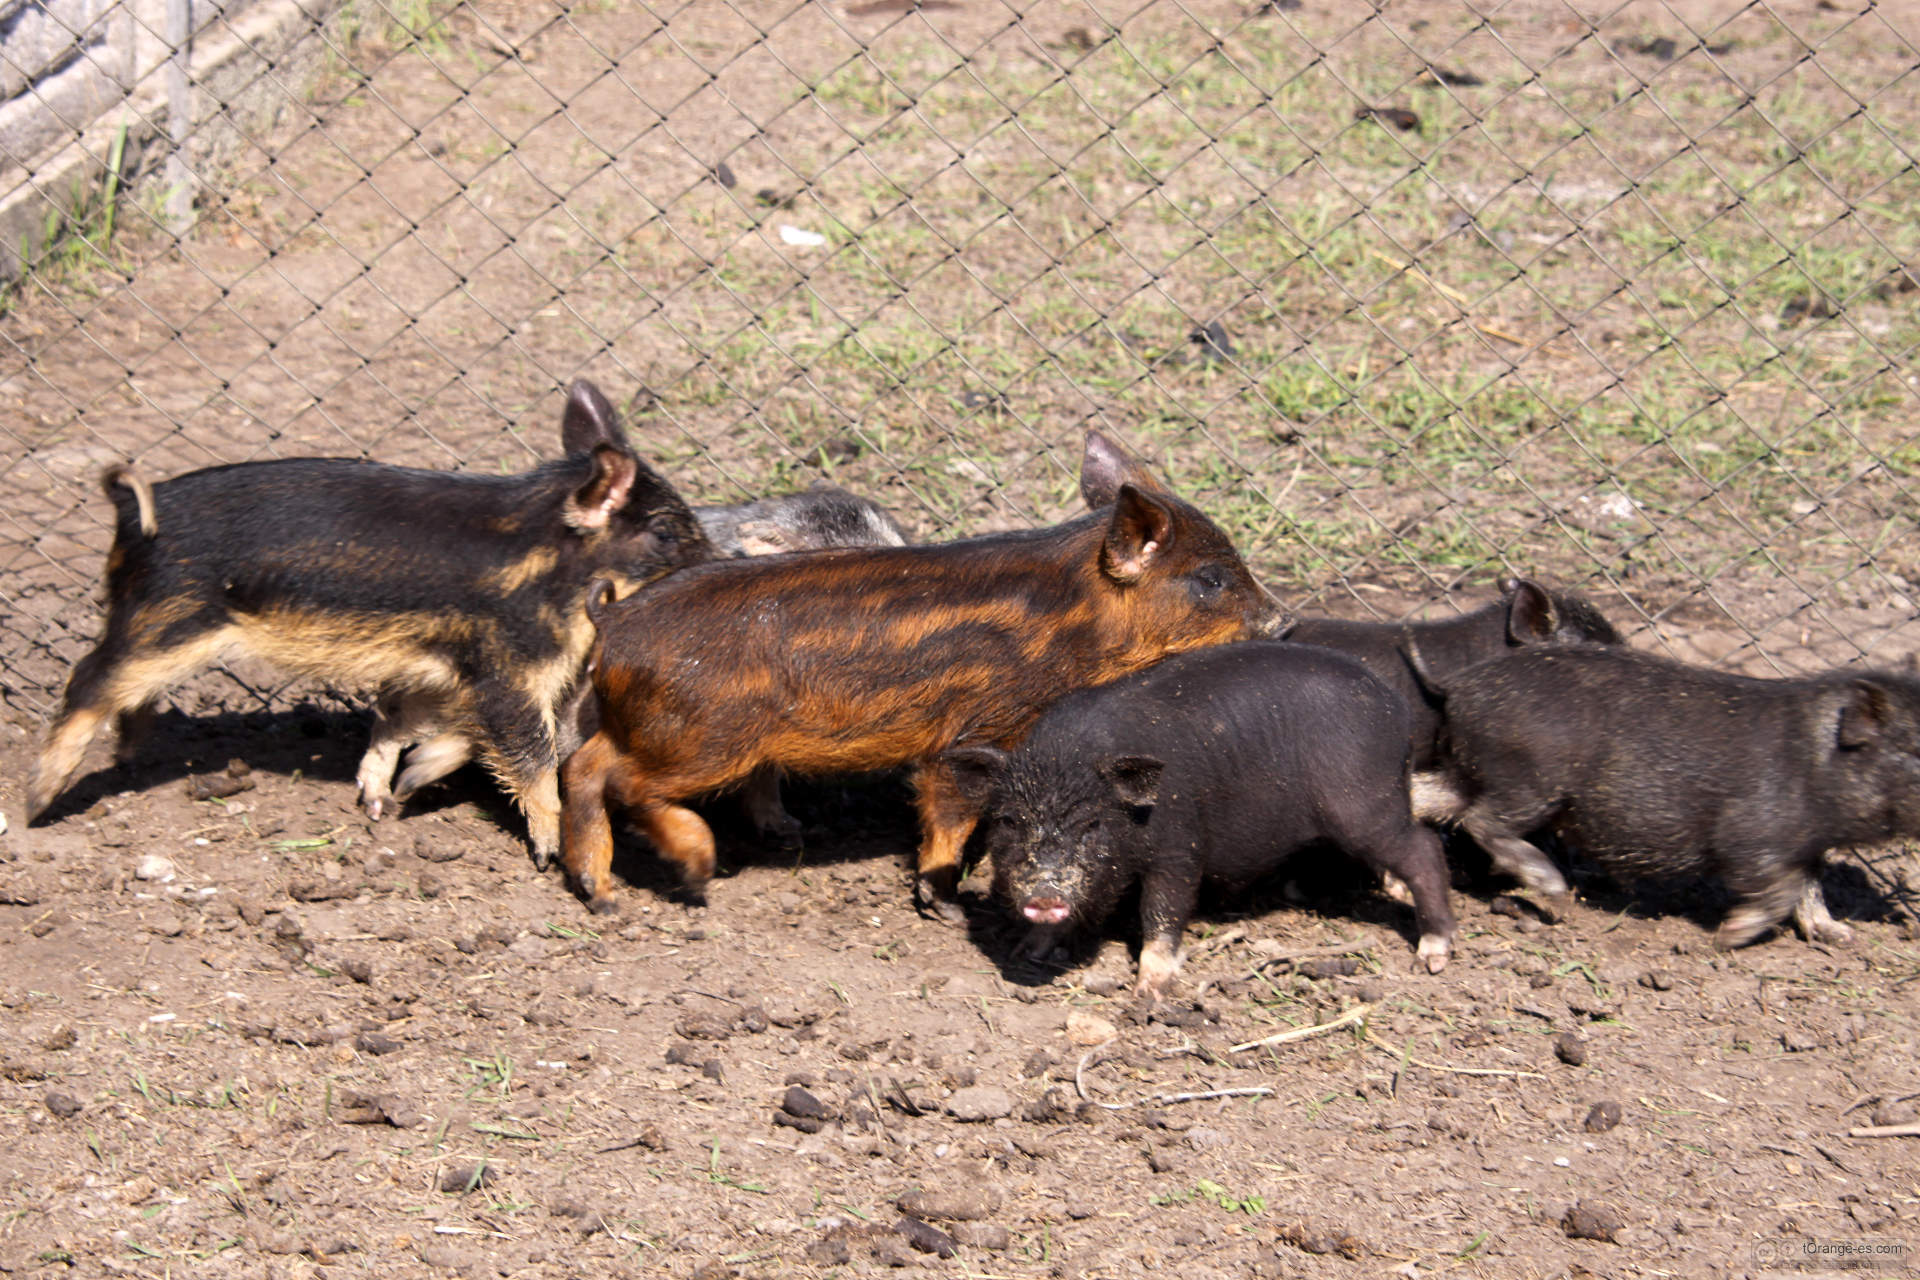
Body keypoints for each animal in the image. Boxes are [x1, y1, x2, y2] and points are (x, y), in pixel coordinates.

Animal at [26, 380, 712, 872]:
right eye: (665, 532)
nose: (719, 563)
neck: (549, 567)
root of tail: (130, 512)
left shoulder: (434, 667)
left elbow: (398, 722)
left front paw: (386, 801)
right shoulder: (504, 668)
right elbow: (534, 753)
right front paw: (547, 855)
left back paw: (131, 757)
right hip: (165, 620)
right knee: (88, 678)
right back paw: (37, 807)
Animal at [560, 430, 1290, 917]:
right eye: (1210, 578)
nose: (1284, 622)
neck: (1078, 624)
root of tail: (613, 622)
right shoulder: (971, 734)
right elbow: (950, 809)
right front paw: (944, 900)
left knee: (584, 770)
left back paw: (603, 897)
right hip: (705, 740)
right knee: (623, 784)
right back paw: (699, 869)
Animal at [943, 640, 1459, 994]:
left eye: (1091, 824)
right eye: (1010, 821)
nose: (1044, 896)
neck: (1067, 756)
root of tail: (1396, 709)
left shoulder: (1181, 845)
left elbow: (1163, 909)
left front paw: (1149, 991)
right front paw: (1026, 950)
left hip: (1360, 802)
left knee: (1425, 848)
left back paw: (1432, 956)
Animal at [1409, 643, 1920, 947]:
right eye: (1915, 751)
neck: (1818, 762)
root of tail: (1457, 686)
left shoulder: (1807, 846)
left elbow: (1811, 888)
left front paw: (1840, 936)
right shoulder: (1751, 837)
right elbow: (1780, 888)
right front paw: (1728, 938)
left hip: (1469, 773)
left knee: (1427, 799)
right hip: (1529, 779)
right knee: (1483, 821)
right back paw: (1555, 891)